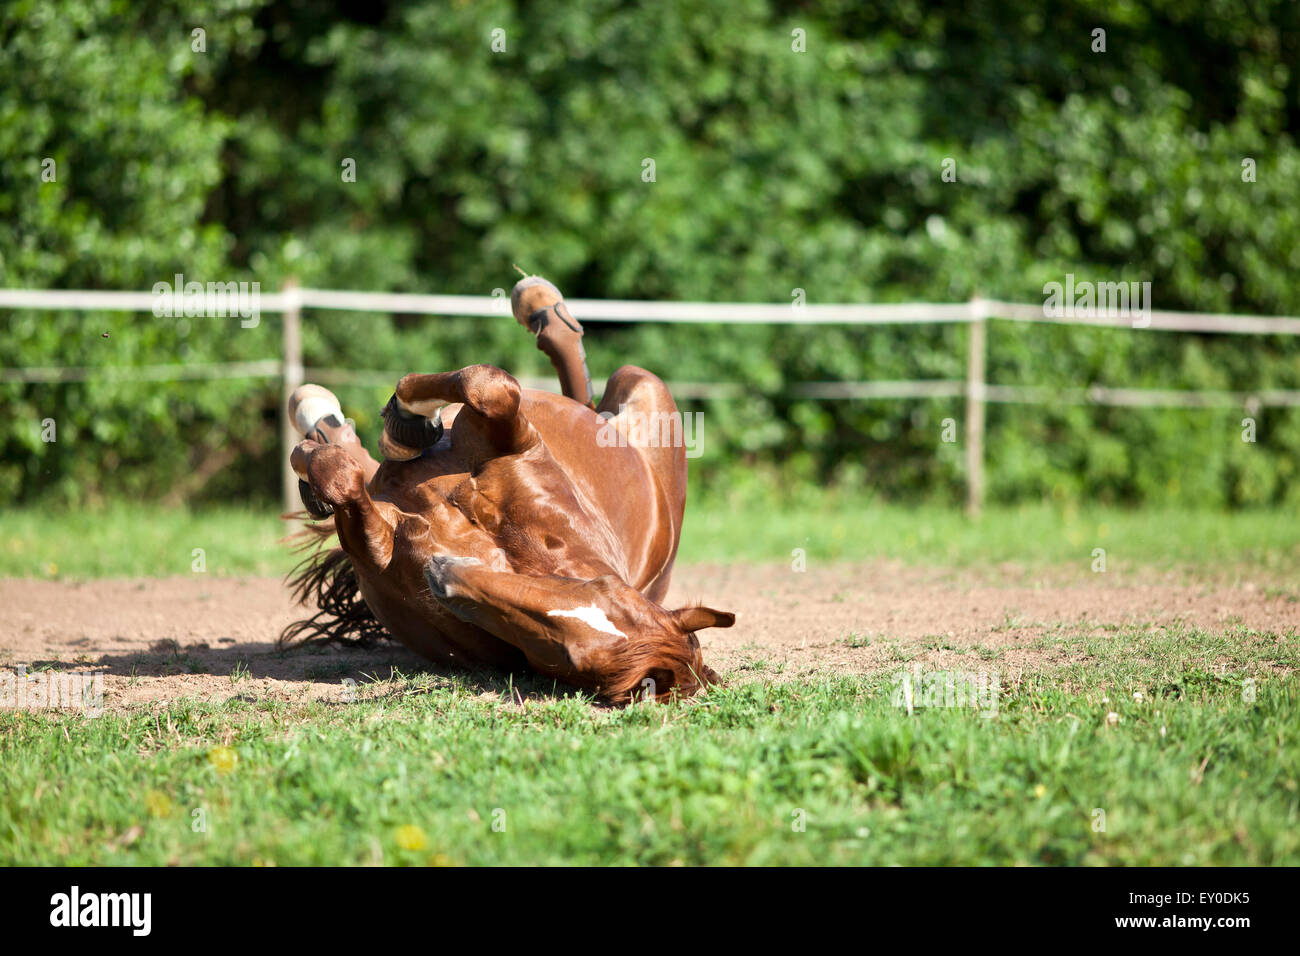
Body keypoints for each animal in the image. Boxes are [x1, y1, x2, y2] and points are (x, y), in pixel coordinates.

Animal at [283, 275, 732, 703]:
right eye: (604, 589)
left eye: (567, 655)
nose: (445, 572)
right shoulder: (515, 436)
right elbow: (489, 385)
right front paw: (404, 424)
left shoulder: (377, 545)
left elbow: (339, 479)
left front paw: (315, 463)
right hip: (632, 385)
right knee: (581, 396)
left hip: (648, 391)